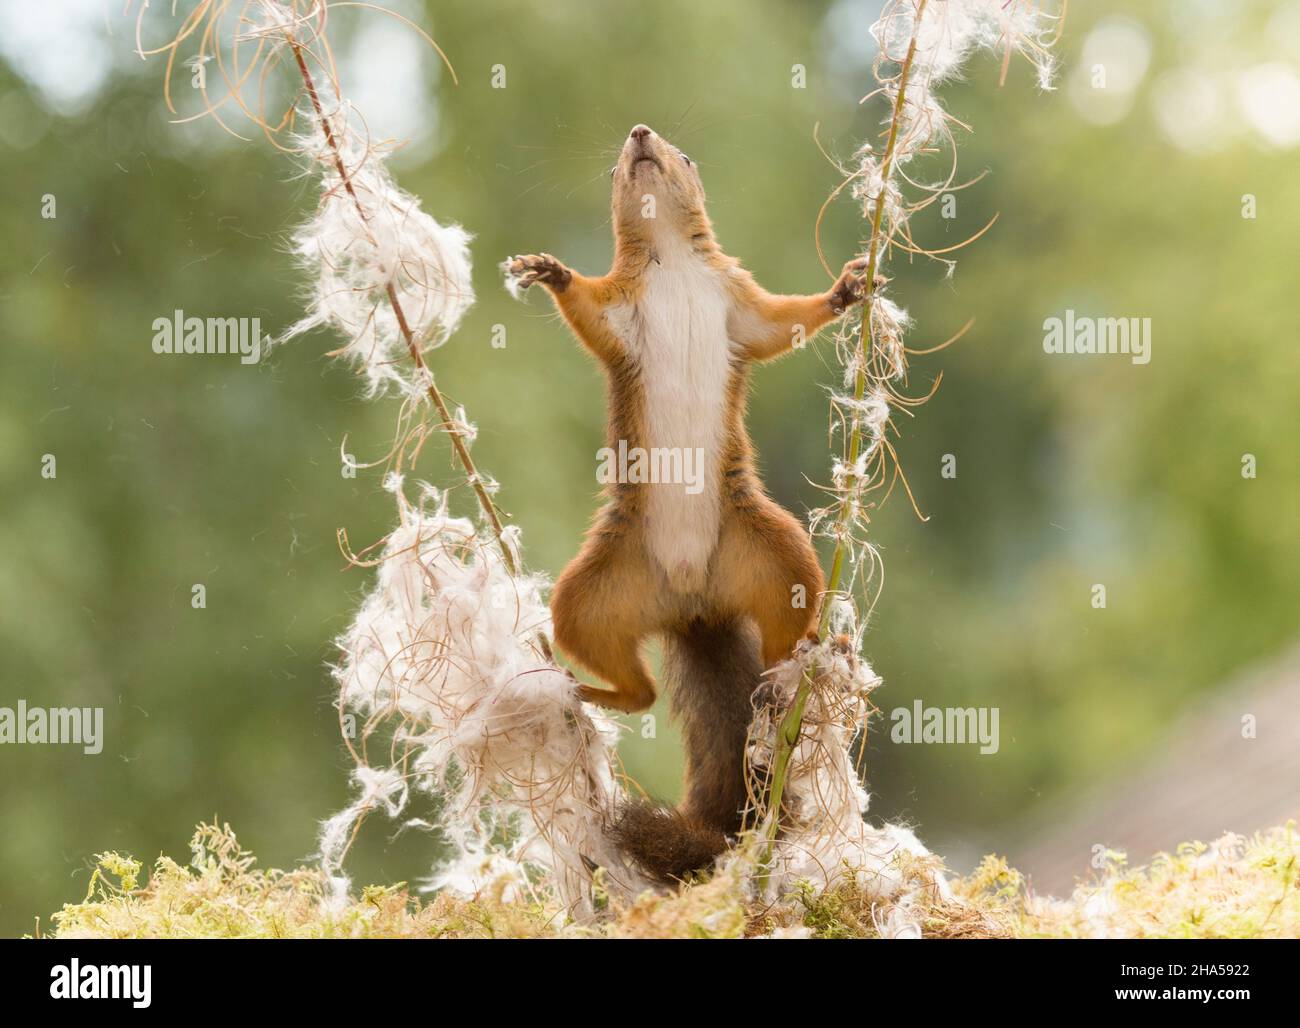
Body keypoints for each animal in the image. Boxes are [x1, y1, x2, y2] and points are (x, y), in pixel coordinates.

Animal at [508, 124, 868, 882]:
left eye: (686, 154)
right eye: (619, 164)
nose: (640, 134)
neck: (671, 259)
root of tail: (693, 604)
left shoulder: (741, 305)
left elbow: (784, 323)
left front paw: (847, 290)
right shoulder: (619, 309)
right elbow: (588, 310)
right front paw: (549, 271)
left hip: (775, 550)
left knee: (780, 634)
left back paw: (797, 665)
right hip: (592, 595)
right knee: (636, 690)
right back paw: (582, 690)